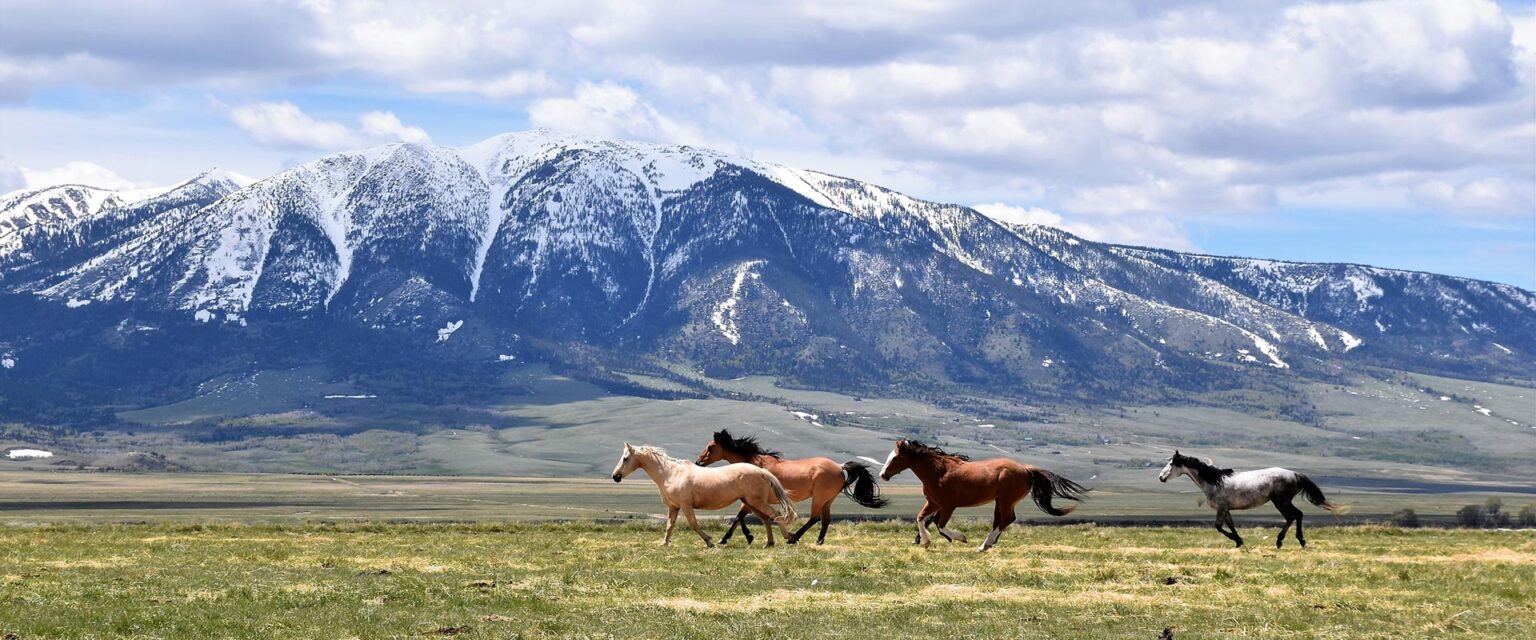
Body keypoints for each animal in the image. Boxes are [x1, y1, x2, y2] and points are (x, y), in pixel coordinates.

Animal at [610, 443, 799, 547]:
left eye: (625, 458)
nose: (615, 476)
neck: (670, 473)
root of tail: (761, 471)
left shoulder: (686, 506)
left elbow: (693, 524)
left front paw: (709, 541)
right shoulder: (673, 507)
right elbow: (669, 525)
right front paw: (664, 543)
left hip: (756, 502)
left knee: (775, 514)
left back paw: (790, 538)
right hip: (751, 503)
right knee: (766, 519)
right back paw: (769, 543)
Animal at [694, 429, 889, 545]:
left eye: (710, 447)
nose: (698, 461)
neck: (755, 465)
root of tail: (840, 467)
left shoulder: (752, 499)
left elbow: (739, 517)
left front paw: (743, 537)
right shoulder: (750, 499)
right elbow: (739, 517)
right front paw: (727, 539)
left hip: (819, 497)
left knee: (814, 518)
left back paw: (794, 538)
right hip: (828, 500)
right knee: (825, 520)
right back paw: (818, 542)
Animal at [878, 439, 1089, 551]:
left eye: (895, 458)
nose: (882, 475)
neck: (938, 472)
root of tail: (1026, 470)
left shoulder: (948, 505)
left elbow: (940, 524)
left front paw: (960, 538)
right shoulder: (933, 502)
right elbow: (921, 518)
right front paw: (926, 541)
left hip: (1005, 500)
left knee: (1005, 520)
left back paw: (983, 545)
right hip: (1002, 501)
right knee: (1003, 520)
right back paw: (988, 544)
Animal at [1159, 450, 1345, 548]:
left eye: (1171, 464)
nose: (1160, 477)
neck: (1214, 481)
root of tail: (1294, 474)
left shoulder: (1221, 508)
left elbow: (1218, 526)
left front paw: (1237, 541)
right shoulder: (1226, 509)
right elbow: (1230, 525)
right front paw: (1239, 542)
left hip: (1281, 501)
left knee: (1295, 515)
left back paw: (1293, 541)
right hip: (1281, 502)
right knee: (1293, 516)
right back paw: (1283, 541)